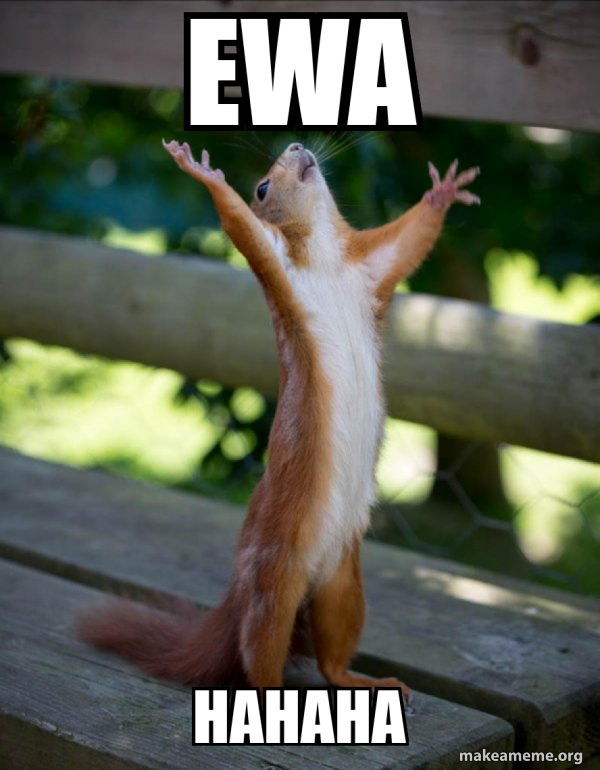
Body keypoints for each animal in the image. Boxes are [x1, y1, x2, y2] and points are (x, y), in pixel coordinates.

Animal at [77, 138, 479, 704]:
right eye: (262, 187)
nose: (295, 145)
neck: (327, 259)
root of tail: (239, 594)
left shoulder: (372, 267)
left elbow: (410, 240)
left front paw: (442, 192)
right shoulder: (277, 264)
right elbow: (240, 226)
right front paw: (203, 173)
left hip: (344, 585)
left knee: (332, 657)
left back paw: (366, 680)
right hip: (273, 584)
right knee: (259, 657)